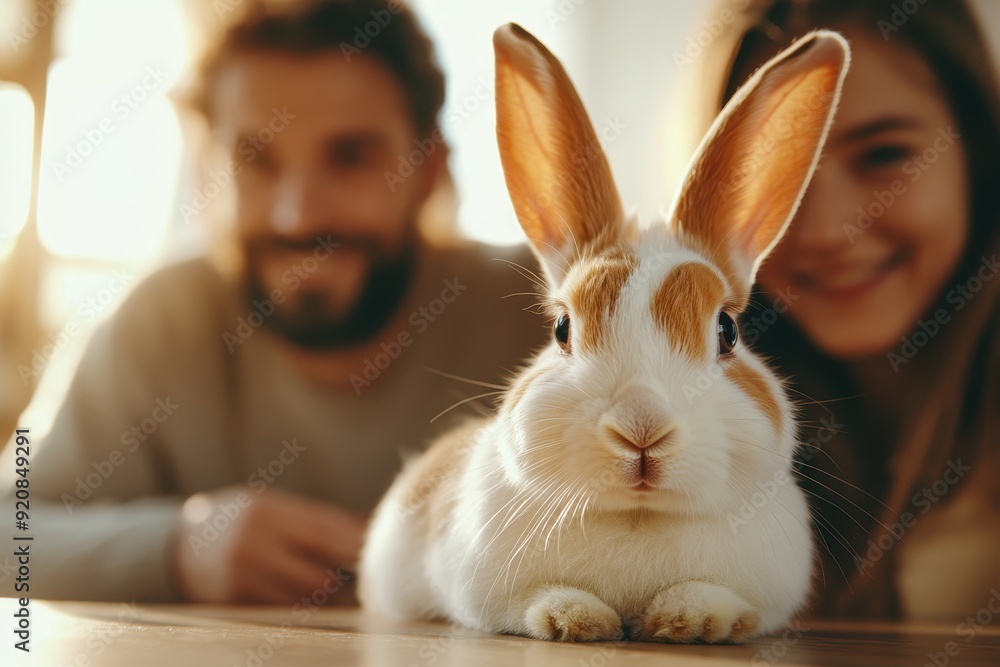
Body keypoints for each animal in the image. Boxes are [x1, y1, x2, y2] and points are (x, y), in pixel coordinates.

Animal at [359, 23, 850, 643]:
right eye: (562, 328)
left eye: (728, 330)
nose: (642, 430)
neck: (638, 516)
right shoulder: (480, 586)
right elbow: (527, 604)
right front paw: (575, 617)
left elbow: (729, 603)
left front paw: (690, 617)